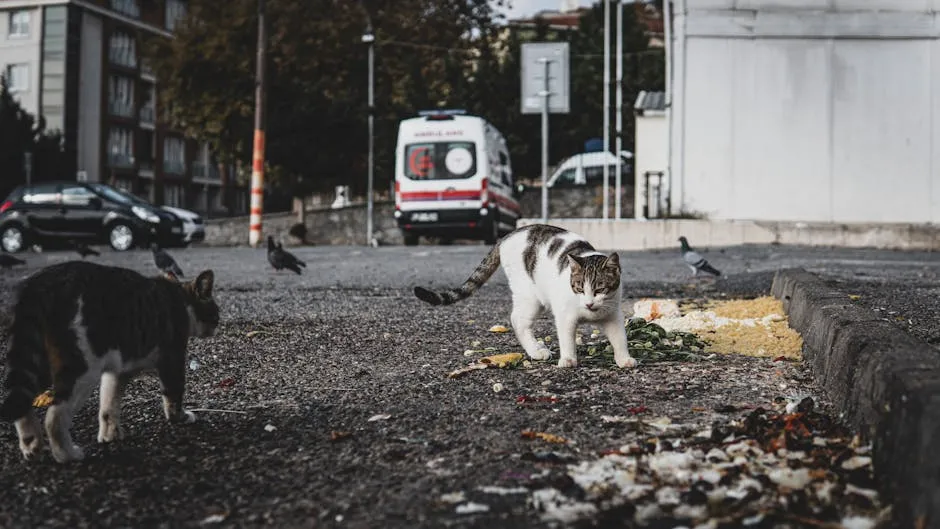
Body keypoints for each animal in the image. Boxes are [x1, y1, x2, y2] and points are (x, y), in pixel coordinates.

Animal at [416, 223, 640, 368]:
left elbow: (620, 338)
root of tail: (507, 235)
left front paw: (624, 359)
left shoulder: (613, 314)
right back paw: (536, 351)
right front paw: (568, 360)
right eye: (578, 288)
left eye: (600, 289)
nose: (589, 304)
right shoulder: (565, 315)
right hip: (529, 295)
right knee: (517, 319)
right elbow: (567, 338)